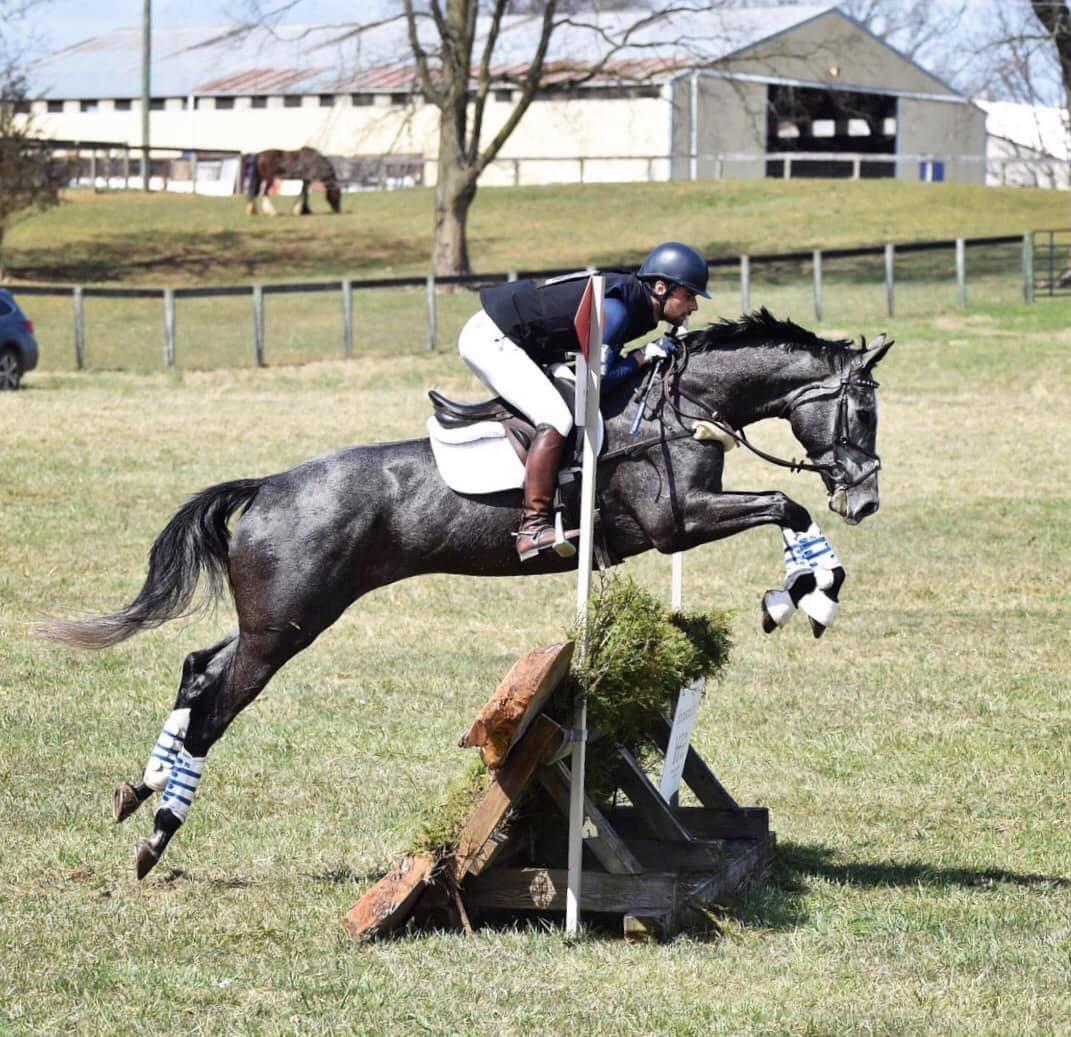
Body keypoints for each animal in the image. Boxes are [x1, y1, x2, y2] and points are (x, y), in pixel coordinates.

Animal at [39, 309, 893, 879]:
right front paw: (806, 595)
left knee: (197, 668)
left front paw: (798, 591)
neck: (678, 409)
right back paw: (155, 834)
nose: (865, 501)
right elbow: (786, 505)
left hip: (277, 617)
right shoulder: (673, 524)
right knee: (215, 707)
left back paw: (138, 789)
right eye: (861, 410)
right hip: (287, 624)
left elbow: (785, 508)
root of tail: (271, 485)